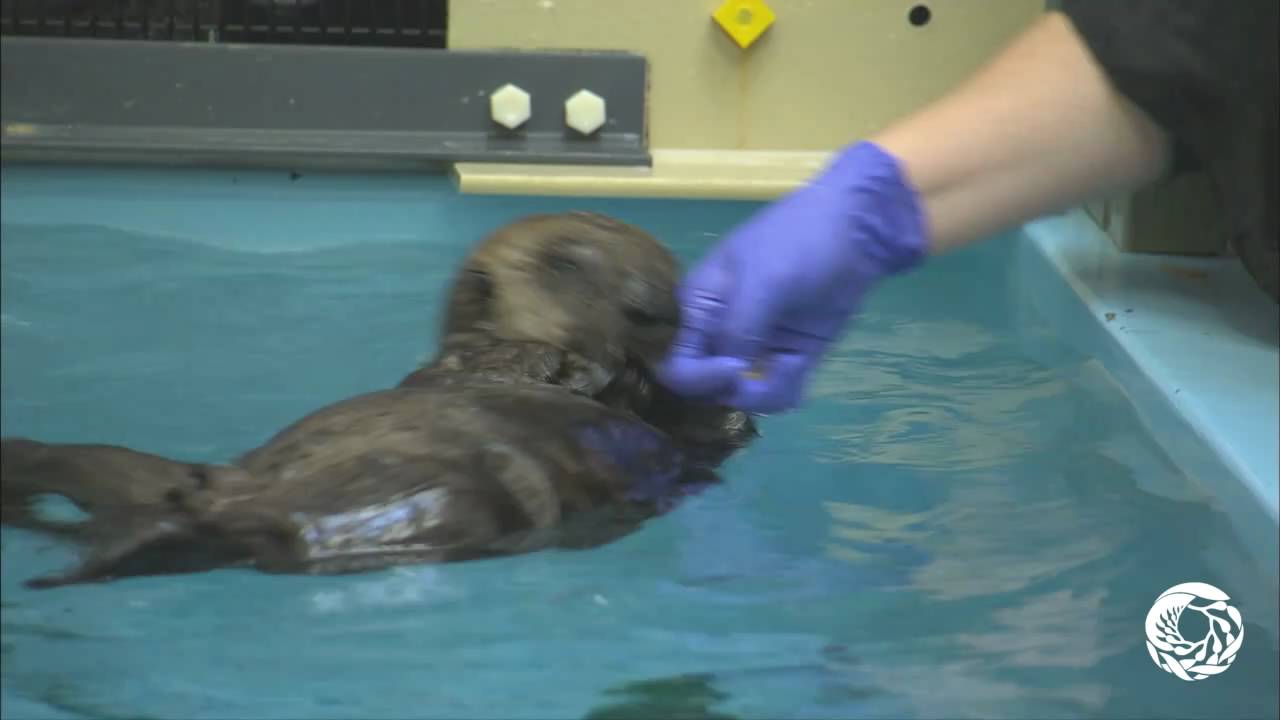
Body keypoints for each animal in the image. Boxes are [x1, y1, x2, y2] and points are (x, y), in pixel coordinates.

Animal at [0, 212, 758, 590]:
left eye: (665, 271)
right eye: (565, 262)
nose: (652, 306)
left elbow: (708, 432)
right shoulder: (469, 356)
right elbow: (513, 361)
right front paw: (576, 366)